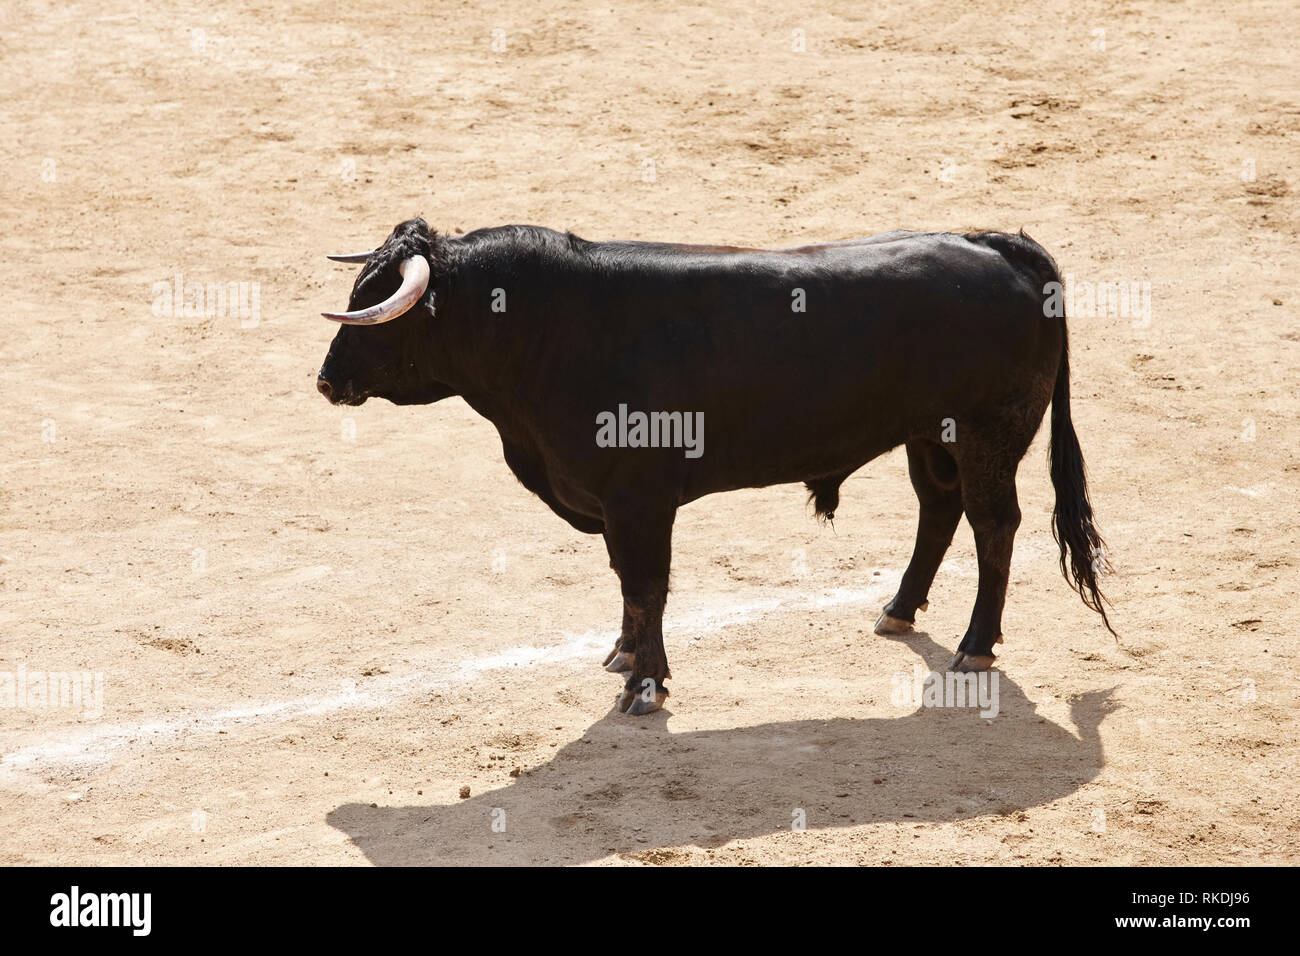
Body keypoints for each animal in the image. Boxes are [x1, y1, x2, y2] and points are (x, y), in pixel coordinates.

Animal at [316, 217, 1114, 716]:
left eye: (380, 309)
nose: (325, 381)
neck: (542, 331)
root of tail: (1002, 246)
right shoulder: (615, 504)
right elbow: (629, 585)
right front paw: (623, 656)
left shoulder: (639, 499)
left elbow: (647, 585)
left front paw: (646, 685)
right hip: (931, 437)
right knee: (940, 511)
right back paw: (897, 610)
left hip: (987, 436)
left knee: (994, 525)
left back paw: (975, 648)